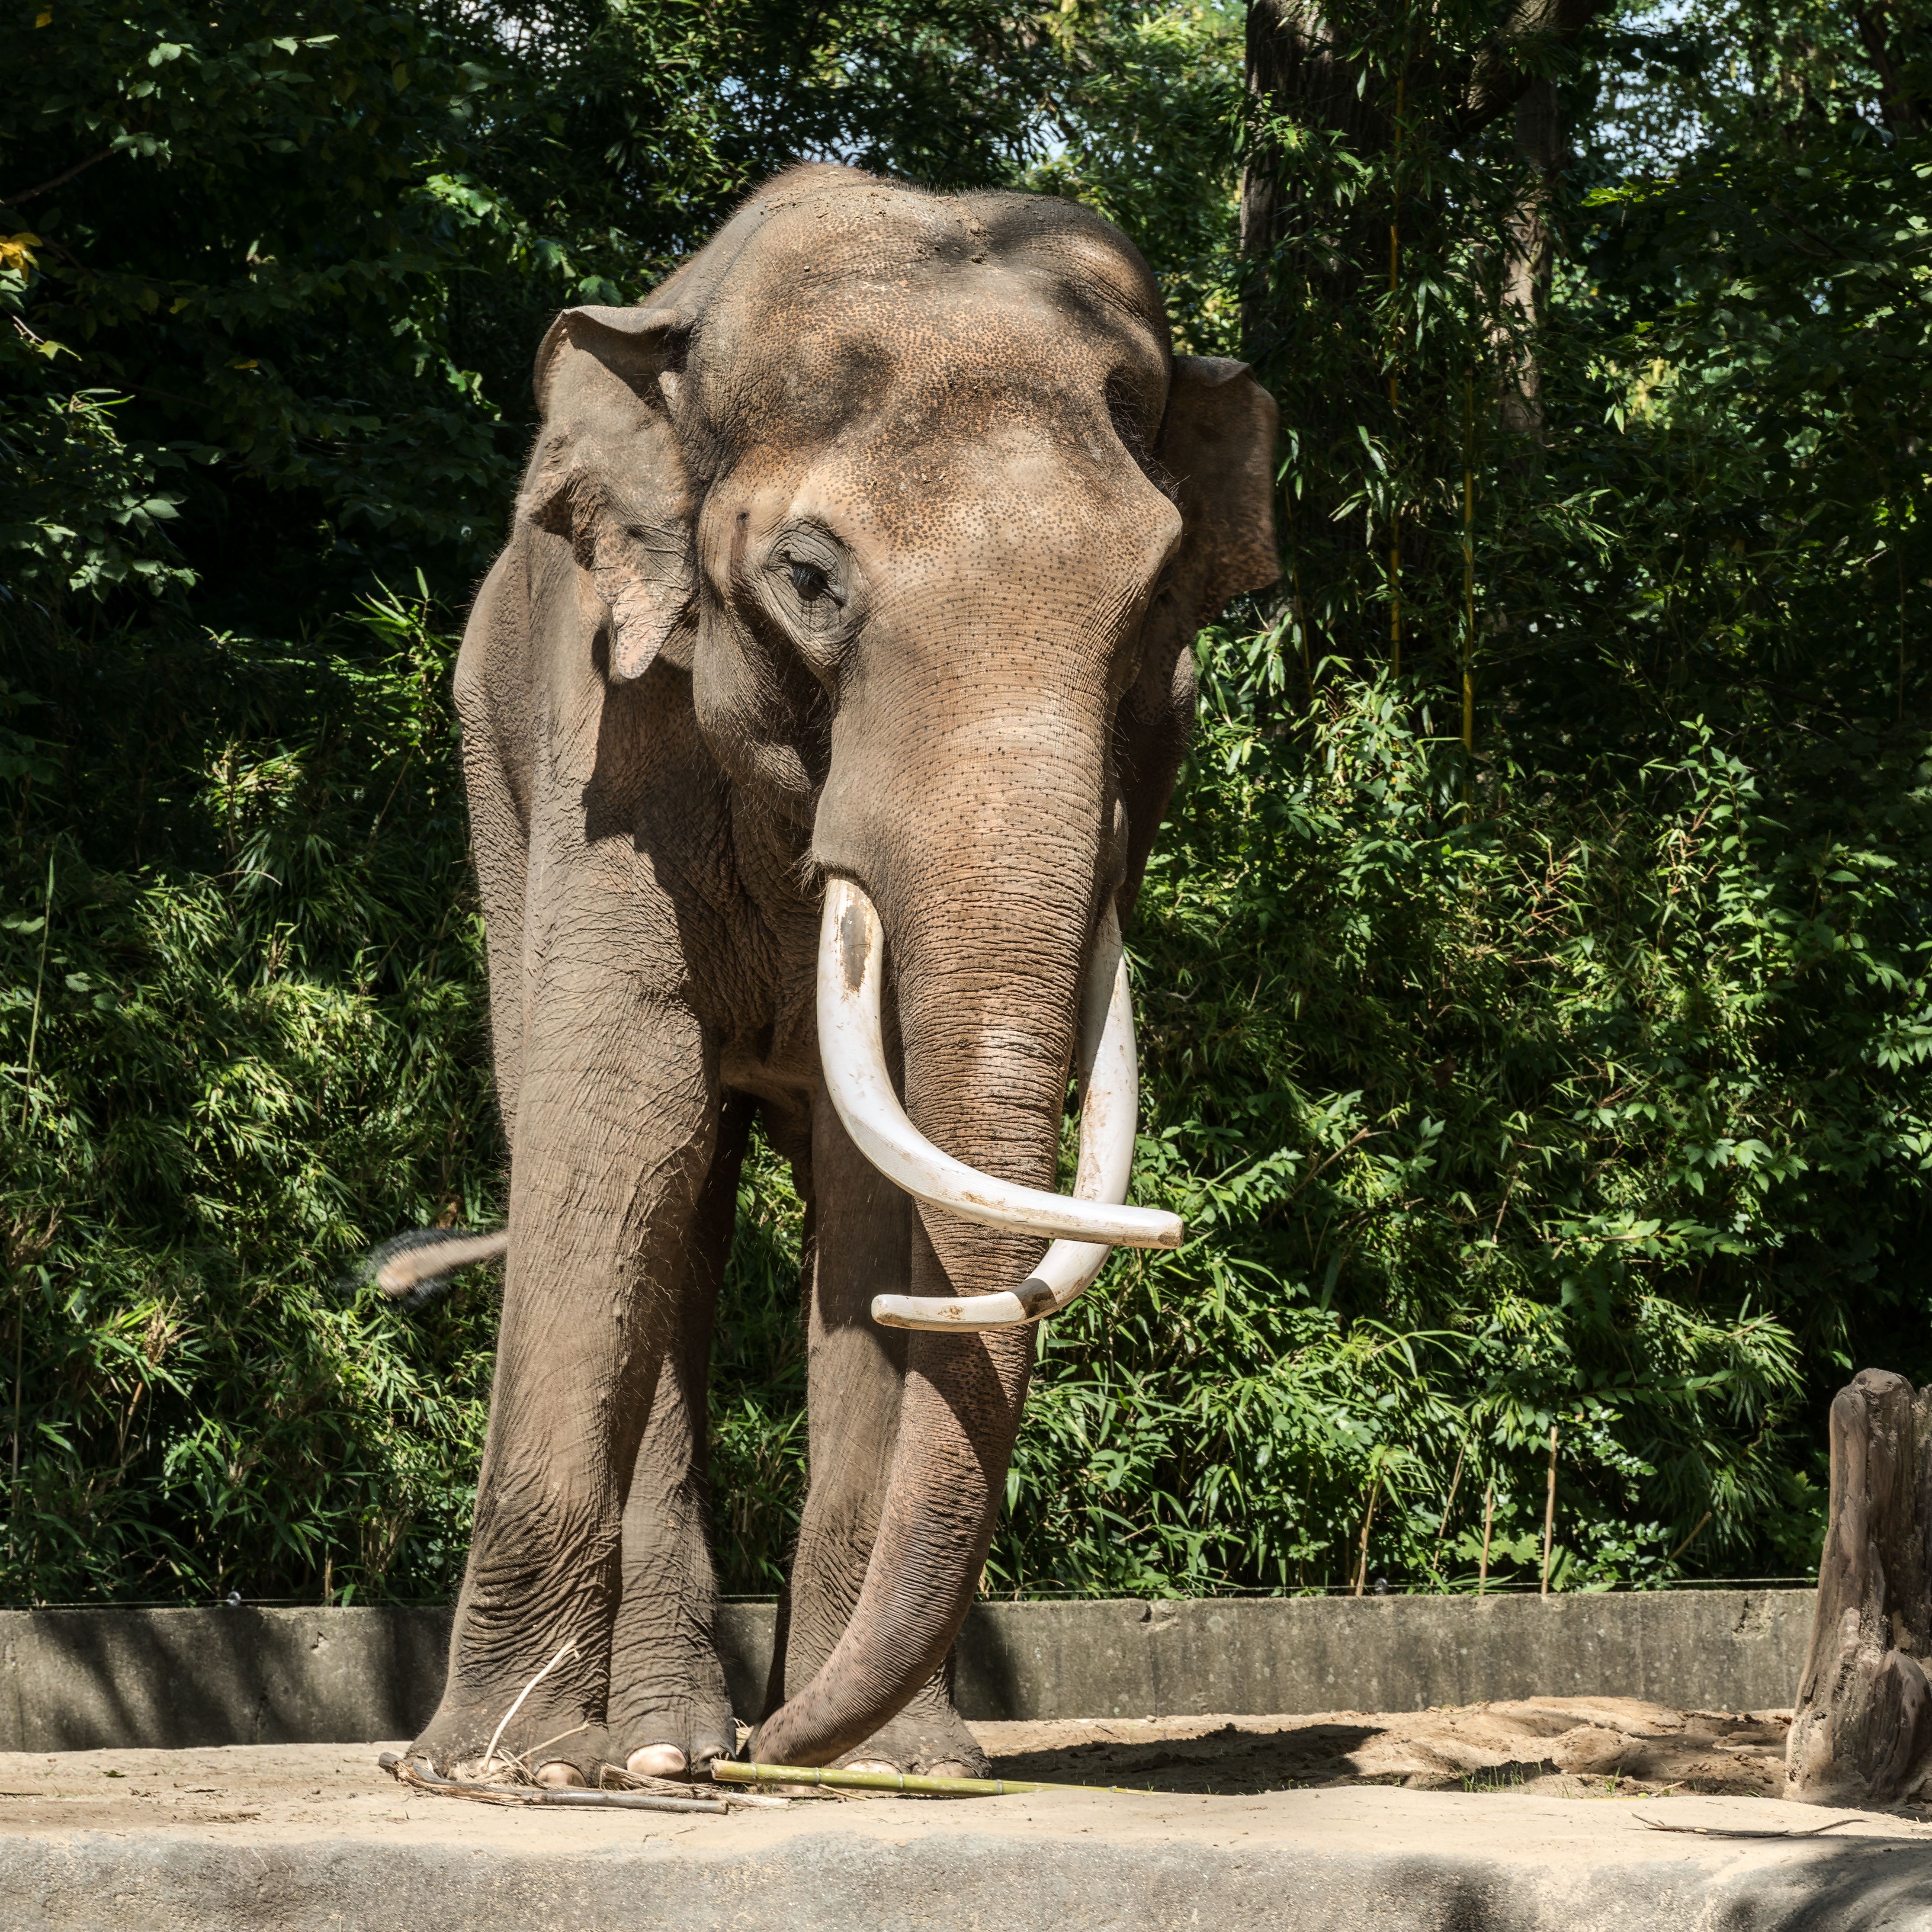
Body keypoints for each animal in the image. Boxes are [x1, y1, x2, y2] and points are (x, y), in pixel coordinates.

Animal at [402, 161, 1278, 1790]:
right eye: (808, 580)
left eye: (1151, 610)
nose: (775, 1747)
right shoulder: (605, 738)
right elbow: (615, 1112)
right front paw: (501, 1768)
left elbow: (883, 1181)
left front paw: (903, 1766)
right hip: (490, 776)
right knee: (654, 1186)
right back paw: (647, 1750)